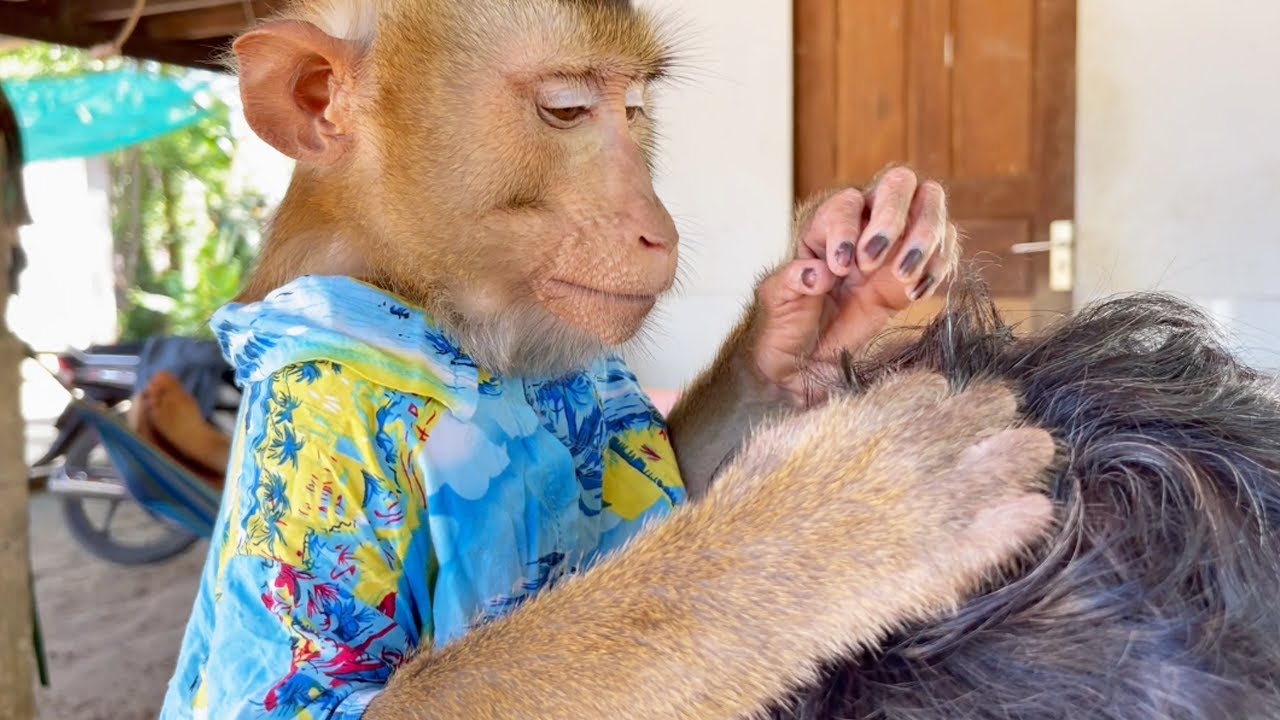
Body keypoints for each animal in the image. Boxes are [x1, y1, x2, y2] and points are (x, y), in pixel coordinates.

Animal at [159, 2, 1039, 718]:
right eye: (567, 108)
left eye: (637, 107)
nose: (659, 229)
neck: (457, 330)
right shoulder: (315, 431)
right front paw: (822, 528)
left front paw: (819, 322)